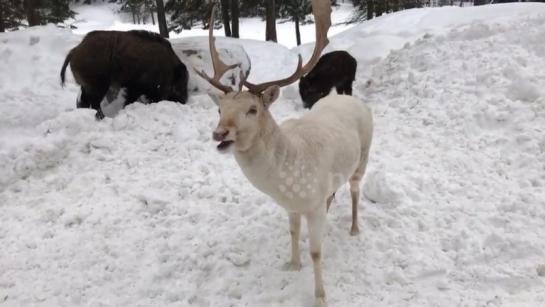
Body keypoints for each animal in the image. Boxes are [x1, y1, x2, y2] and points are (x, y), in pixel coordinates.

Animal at [60, 30, 189, 119]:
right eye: (181, 84)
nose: (184, 102)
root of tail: (75, 50)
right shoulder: (137, 86)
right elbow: (130, 99)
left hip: (88, 85)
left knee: (83, 101)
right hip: (98, 84)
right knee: (94, 102)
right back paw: (101, 118)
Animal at [197, 1, 374, 306]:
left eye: (252, 109)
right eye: (220, 109)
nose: (220, 133)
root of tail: (352, 99)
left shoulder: (312, 206)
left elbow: (316, 252)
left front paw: (320, 296)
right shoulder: (292, 207)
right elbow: (292, 232)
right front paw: (292, 264)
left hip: (363, 156)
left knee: (354, 191)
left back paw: (353, 228)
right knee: (334, 195)